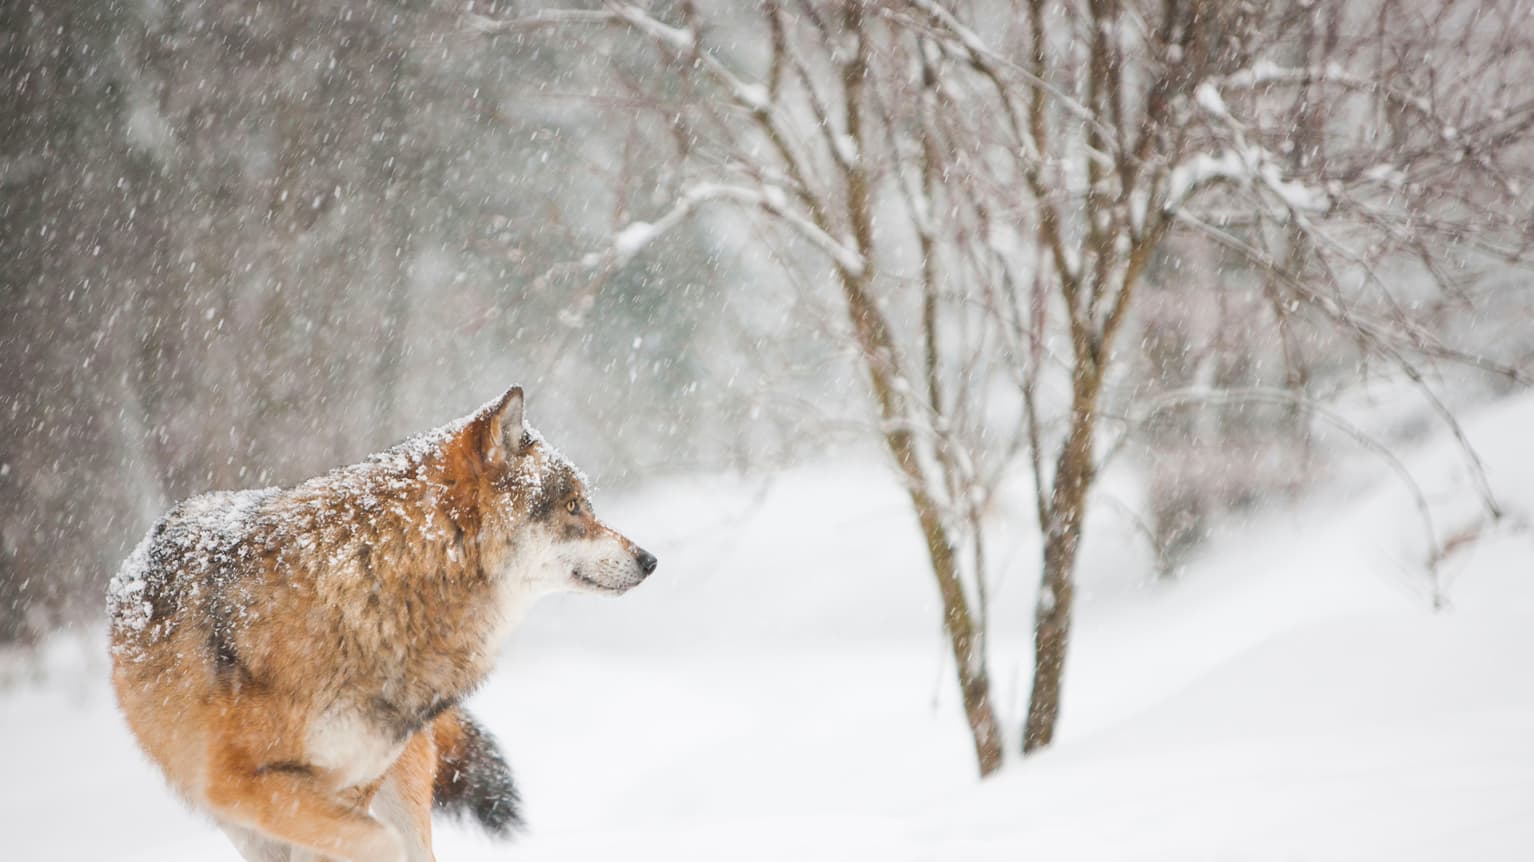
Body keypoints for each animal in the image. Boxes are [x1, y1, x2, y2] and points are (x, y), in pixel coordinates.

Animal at [108, 385, 656, 861]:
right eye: (573, 507)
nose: (649, 560)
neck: (375, 580)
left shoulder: (352, 783)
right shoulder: (242, 783)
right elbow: (373, 843)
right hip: (243, 822)